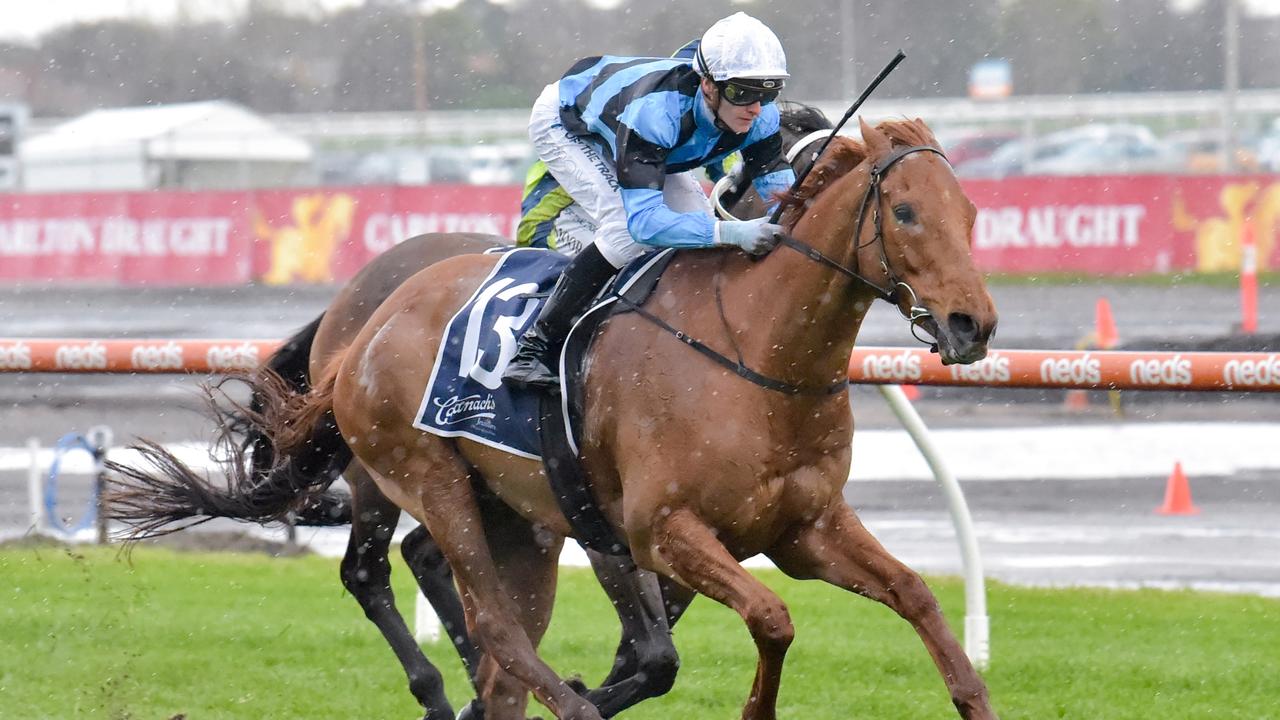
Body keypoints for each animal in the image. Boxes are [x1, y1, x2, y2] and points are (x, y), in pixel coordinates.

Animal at [108, 104, 841, 720]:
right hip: (386, 469)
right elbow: (654, 654)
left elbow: (646, 654)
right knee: (370, 568)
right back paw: (438, 691)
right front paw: (549, 692)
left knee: (425, 555)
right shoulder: (601, 513)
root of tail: (358, 297)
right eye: (810, 163)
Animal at [231, 116, 996, 719]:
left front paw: (972, 693)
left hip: (517, 518)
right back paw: (528, 703)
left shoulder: (806, 529)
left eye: (970, 214)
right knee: (468, 615)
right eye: (905, 212)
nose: (973, 323)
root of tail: (364, 332)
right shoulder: (658, 531)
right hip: (424, 477)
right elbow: (764, 621)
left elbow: (915, 593)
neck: (753, 351)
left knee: (495, 652)